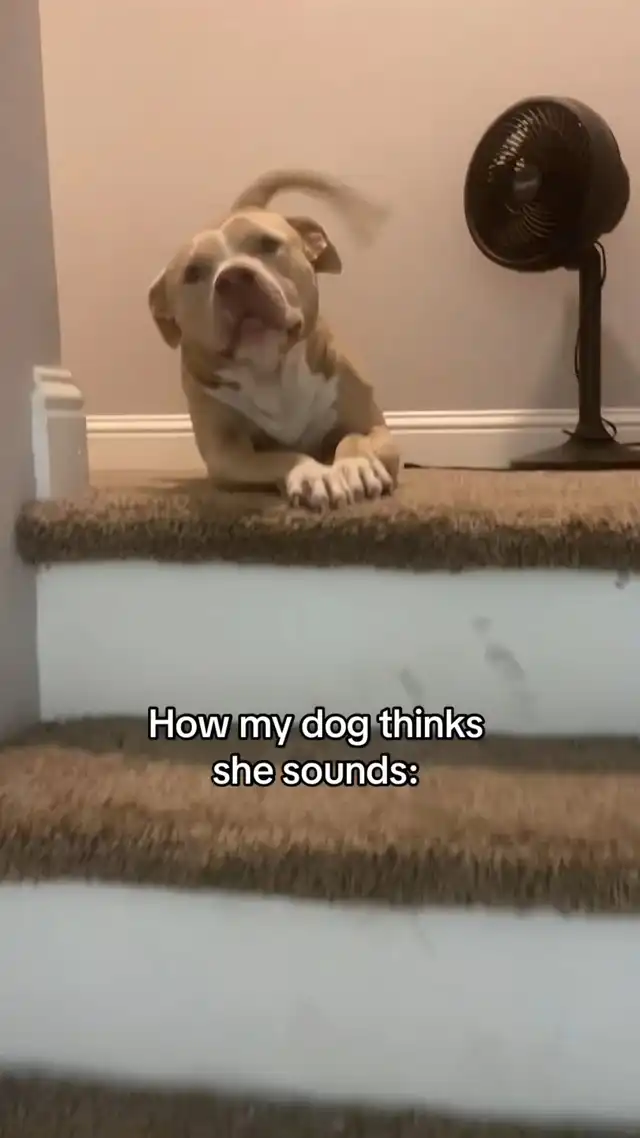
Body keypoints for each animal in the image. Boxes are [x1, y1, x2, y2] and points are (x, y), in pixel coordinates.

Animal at [148, 170, 401, 509]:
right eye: (193, 272)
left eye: (268, 244)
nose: (233, 277)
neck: (271, 370)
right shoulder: (227, 455)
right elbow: (282, 456)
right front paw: (313, 473)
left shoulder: (376, 428)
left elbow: (355, 440)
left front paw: (355, 466)